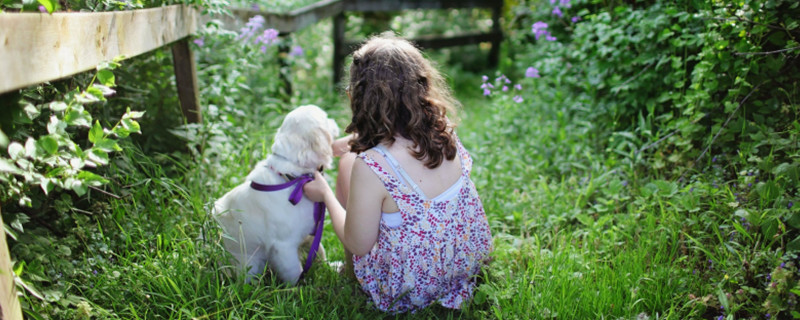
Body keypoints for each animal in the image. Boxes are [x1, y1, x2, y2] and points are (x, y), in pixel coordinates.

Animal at [212, 105, 338, 284]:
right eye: (326, 118)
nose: (334, 121)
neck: (292, 178)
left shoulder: (310, 232)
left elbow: (319, 251)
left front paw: (331, 268)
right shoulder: (284, 246)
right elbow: (295, 272)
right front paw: (301, 288)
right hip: (250, 265)